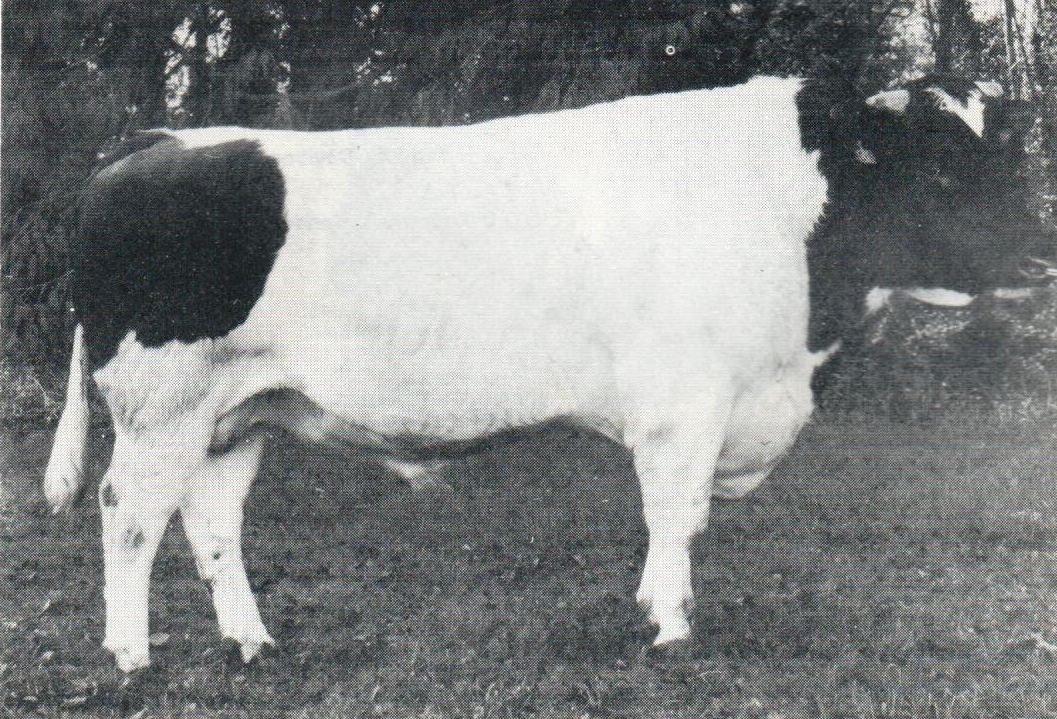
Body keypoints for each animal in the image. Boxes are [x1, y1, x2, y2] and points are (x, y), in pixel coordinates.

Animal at [43, 74, 1055, 672]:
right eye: (943, 173)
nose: (1039, 256)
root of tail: (158, 139)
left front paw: (652, 605)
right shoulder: (685, 405)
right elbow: (677, 514)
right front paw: (673, 627)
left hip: (236, 413)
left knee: (212, 524)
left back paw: (252, 642)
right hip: (160, 407)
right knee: (128, 515)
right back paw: (130, 655)